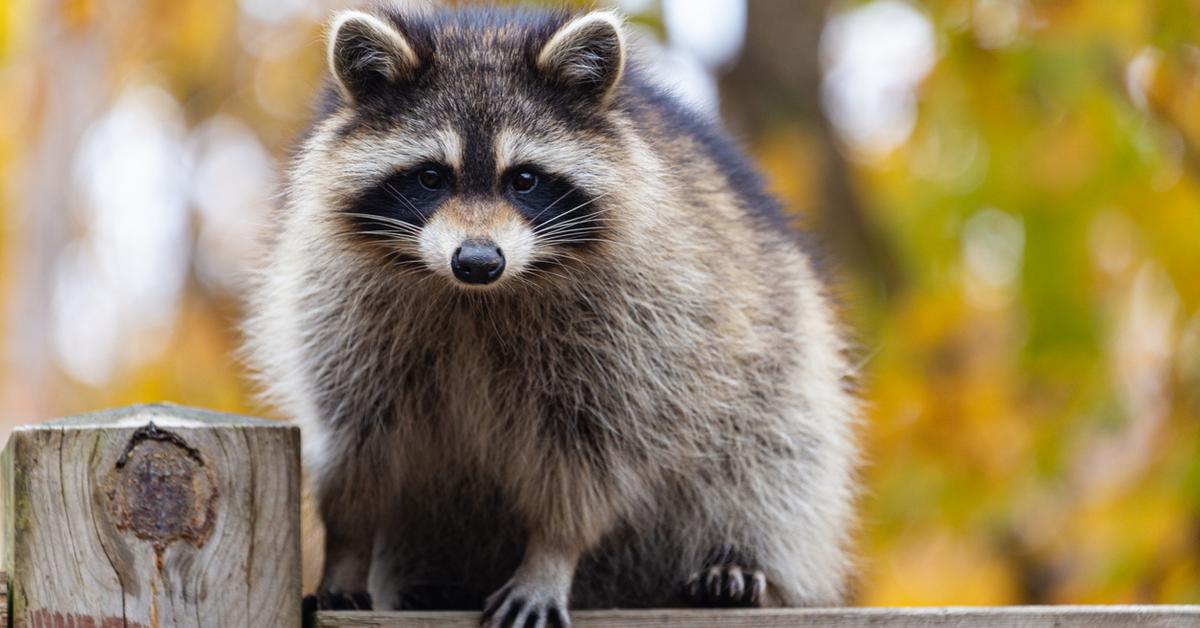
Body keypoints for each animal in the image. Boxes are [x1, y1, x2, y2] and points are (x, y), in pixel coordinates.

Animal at [243, 5, 858, 626]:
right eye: (431, 176)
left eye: (525, 179)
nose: (478, 261)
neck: (474, 297)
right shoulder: (341, 317)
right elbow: (357, 452)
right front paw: (346, 552)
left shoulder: (643, 329)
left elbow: (590, 462)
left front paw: (551, 555)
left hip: (780, 372)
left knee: (774, 462)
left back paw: (741, 562)